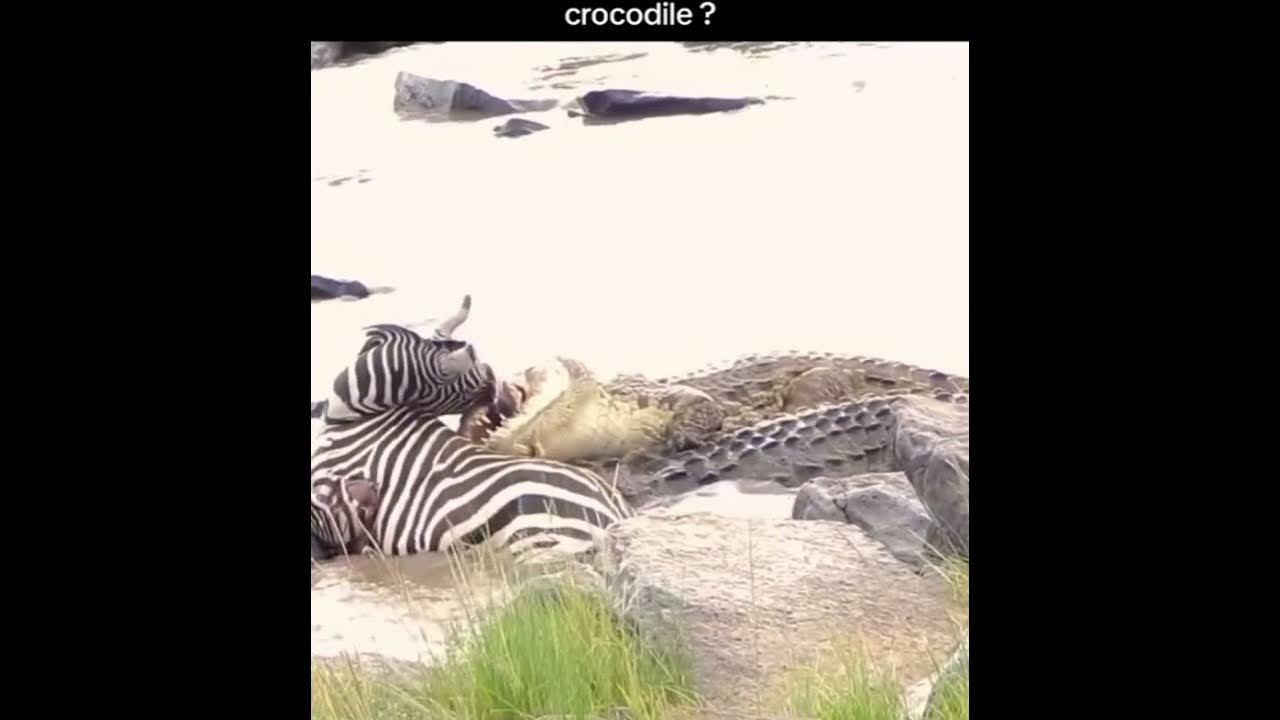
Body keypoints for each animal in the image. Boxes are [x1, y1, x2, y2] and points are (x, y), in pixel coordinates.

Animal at [311, 295, 631, 562]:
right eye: (485, 378)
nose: (506, 398)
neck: (361, 415)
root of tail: (613, 515)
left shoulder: (325, 500)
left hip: (533, 544)